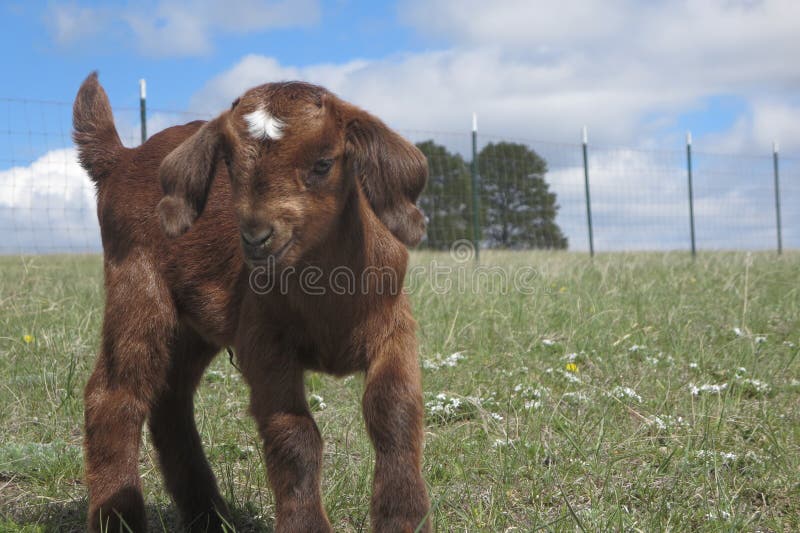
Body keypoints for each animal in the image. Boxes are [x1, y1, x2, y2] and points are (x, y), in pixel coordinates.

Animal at [73, 72, 430, 532]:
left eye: (323, 163)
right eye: (230, 165)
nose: (257, 237)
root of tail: (120, 159)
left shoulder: (395, 325)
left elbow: (393, 411)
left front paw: (404, 517)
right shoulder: (263, 341)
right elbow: (294, 434)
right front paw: (306, 526)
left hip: (194, 326)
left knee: (171, 401)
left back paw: (210, 516)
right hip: (136, 284)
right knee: (115, 395)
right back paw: (121, 519)